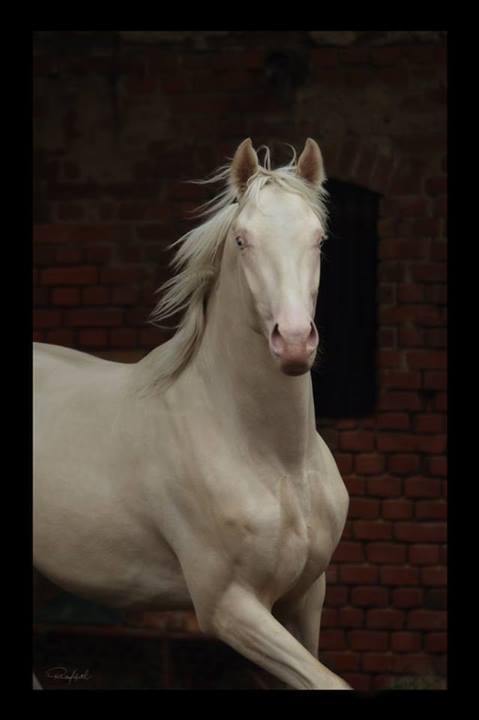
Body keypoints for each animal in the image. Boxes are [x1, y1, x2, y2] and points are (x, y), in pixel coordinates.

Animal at [33, 138, 351, 690]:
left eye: (319, 238)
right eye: (243, 240)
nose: (293, 342)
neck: (276, 461)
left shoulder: (304, 598)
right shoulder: (229, 607)